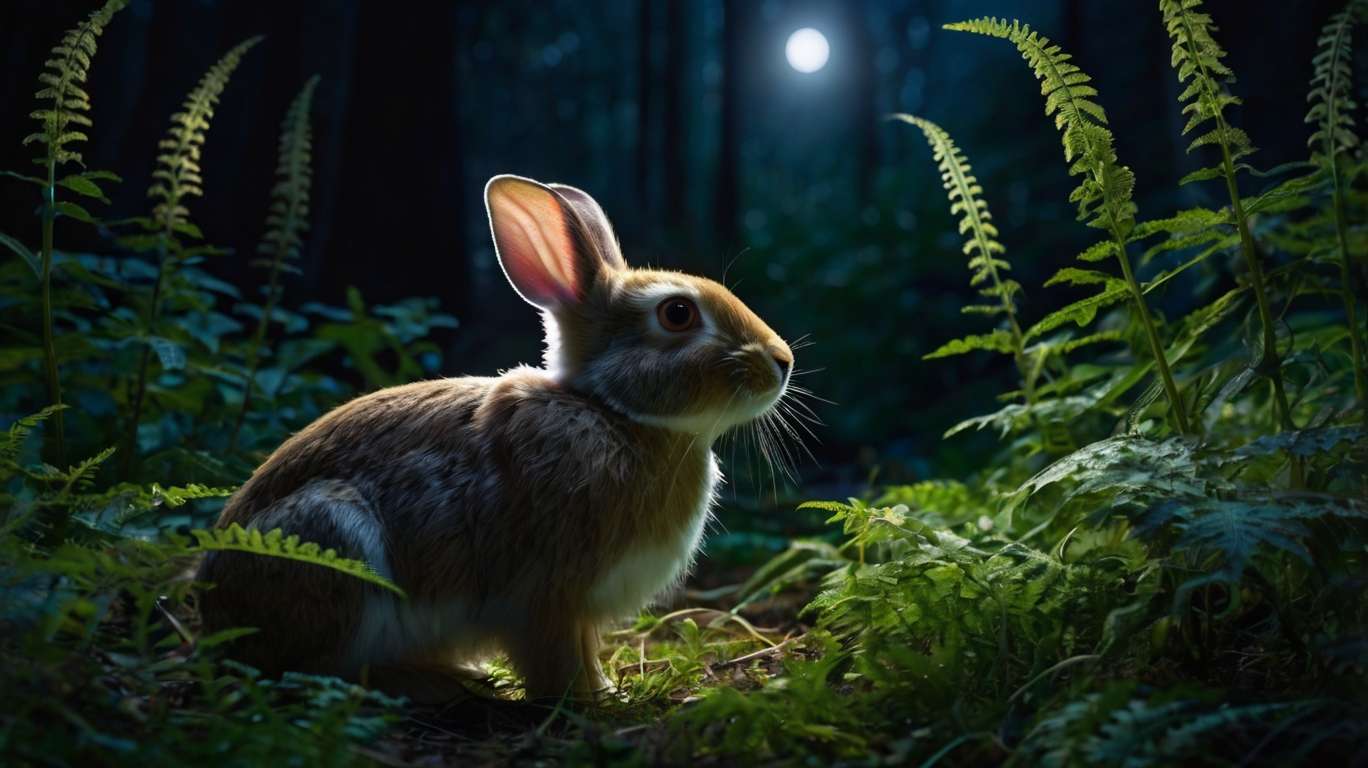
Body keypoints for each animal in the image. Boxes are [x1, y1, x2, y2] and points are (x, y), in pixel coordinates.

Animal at [197, 174, 794, 702]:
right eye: (677, 313)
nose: (783, 360)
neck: (611, 412)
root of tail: (214, 619)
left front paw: (606, 691)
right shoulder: (546, 596)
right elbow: (556, 658)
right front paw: (593, 701)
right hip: (331, 541)